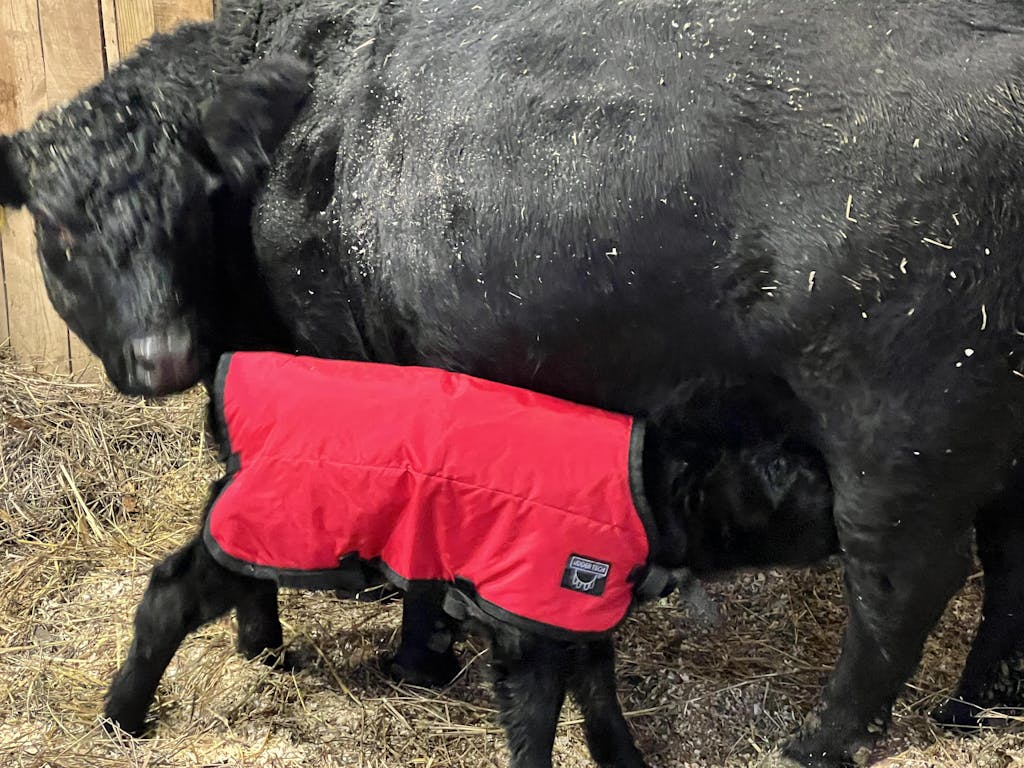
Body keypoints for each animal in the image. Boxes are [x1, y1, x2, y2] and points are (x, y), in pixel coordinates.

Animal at [3, 1, 1024, 765]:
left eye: (188, 202)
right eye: (57, 231)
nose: (161, 355)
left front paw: (410, 651)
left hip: (901, 439)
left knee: (903, 586)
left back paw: (822, 740)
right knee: (1009, 556)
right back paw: (977, 705)